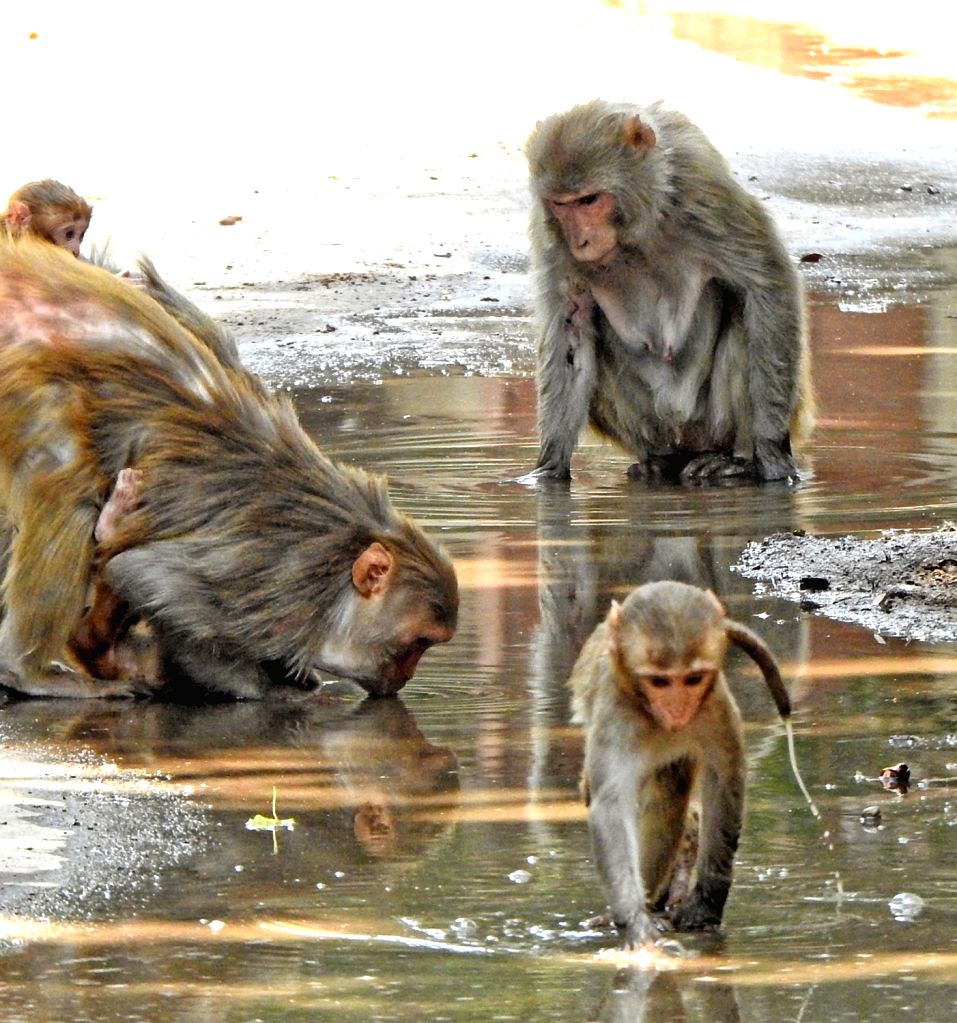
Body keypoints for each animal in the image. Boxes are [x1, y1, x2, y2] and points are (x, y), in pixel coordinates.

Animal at [0, 236, 459, 700]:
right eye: (418, 642)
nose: (405, 680)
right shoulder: (274, 588)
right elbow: (145, 576)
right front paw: (276, 692)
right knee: (67, 486)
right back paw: (31, 671)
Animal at [522, 100, 813, 484]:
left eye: (589, 200)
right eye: (561, 204)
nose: (580, 241)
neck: (633, 231)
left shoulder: (701, 190)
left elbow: (768, 284)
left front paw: (770, 456)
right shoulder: (552, 237)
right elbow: (570, 329)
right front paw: (548, 470)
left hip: (712, 422)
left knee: (747, 317)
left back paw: (737, 460)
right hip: (654, 427)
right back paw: (661, 462)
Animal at [569, 580, 791, 949]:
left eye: (693, 679)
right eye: (659, 682)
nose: (677, 709)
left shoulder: (714, 705)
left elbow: (725, 778)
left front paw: (705, 906)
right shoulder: (615, 712)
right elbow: (611, 805)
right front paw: (635, 923)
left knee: (671, 786)